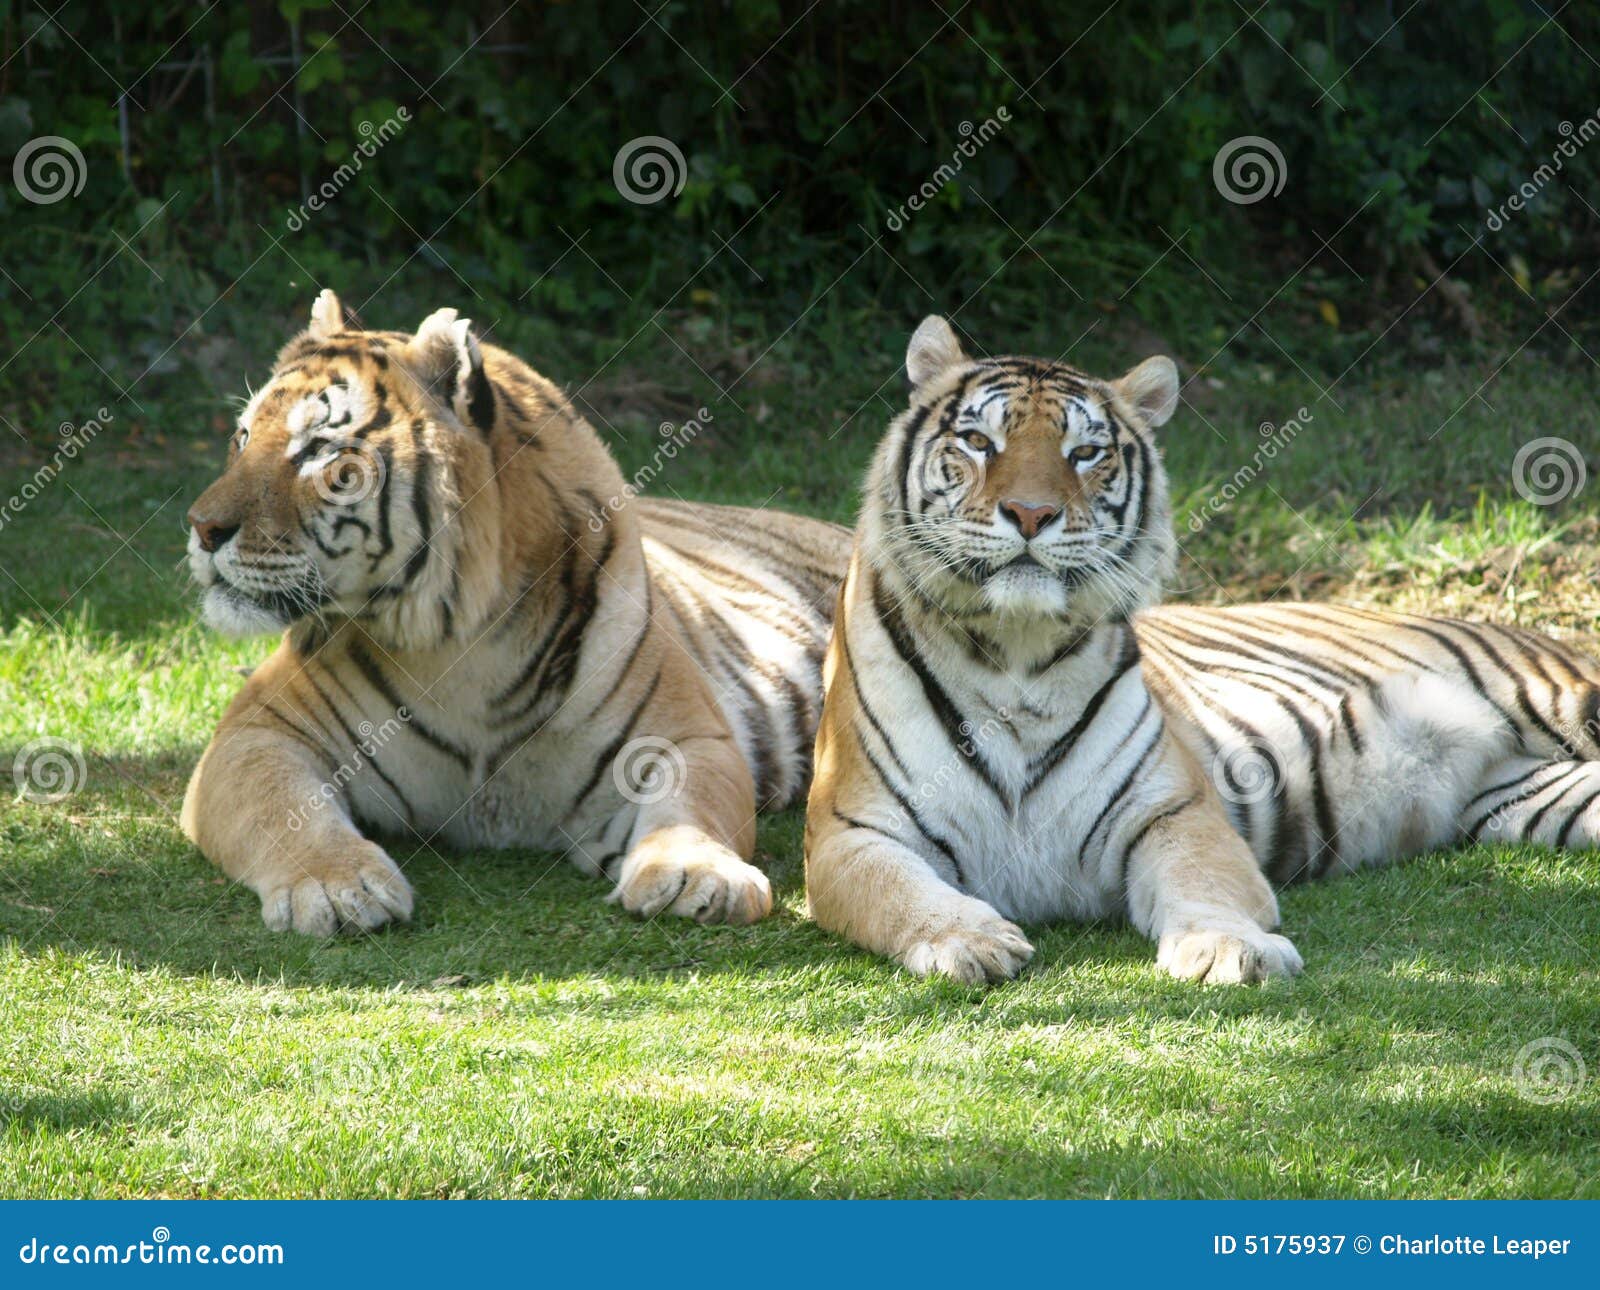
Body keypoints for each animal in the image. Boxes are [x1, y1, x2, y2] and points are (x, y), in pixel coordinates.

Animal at [181, 289, 850, 936]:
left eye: (318, 451)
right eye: (243, 437)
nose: (201, 528)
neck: (462, 645)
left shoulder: (688, 736)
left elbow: (695, 807)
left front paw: (696, 873)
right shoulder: (258, 732)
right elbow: (281, 808)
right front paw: (332, 885)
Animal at [804, 314, 1600, 984]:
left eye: (1084, 453)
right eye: (978, 442)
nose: (1031, 513)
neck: (1015, 654)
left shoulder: (1176, 810)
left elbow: (1205, 883)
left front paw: (1230, 948)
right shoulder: (850, 833)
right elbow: (899, 892)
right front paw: (969, 939)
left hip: (1560, 700)